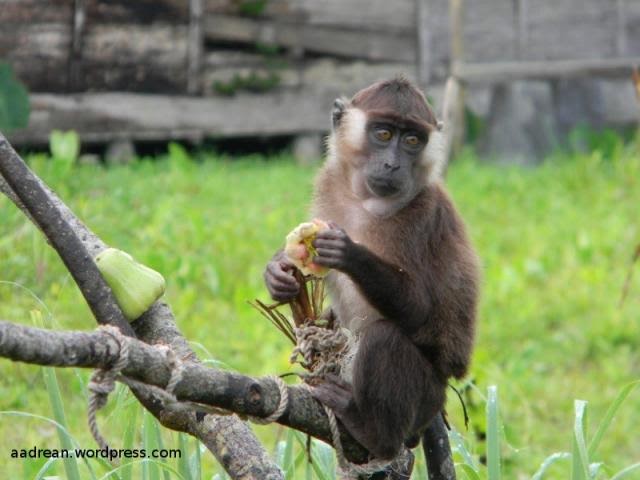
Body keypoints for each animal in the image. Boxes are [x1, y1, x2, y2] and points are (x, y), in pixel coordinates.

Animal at [264, 77, 479, 461]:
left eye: (412, 141)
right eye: (383, 133)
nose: (393, 164)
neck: (369, 203)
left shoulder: (421, 216)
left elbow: (420, 311)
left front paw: (349, 253)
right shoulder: (331, 183)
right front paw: (279, 273)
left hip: (426, 398)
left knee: (385, 338)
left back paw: (374, 432)